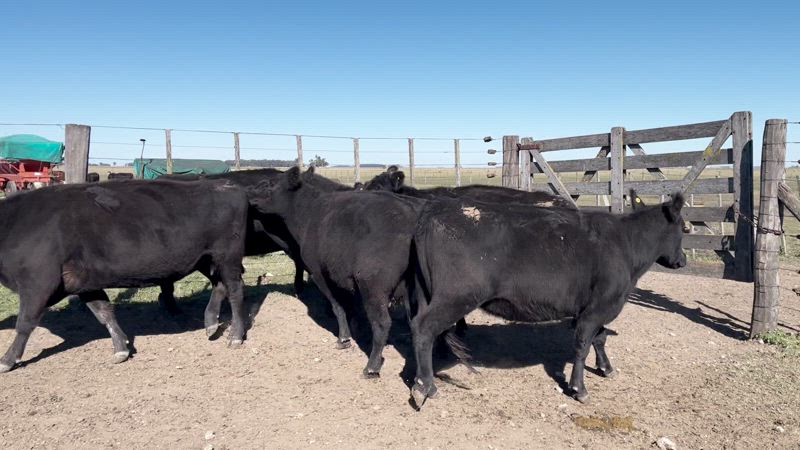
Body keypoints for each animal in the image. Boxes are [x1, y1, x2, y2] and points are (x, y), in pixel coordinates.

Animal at [0, 179, 250, 372]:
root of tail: (225, 184)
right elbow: (104, 313)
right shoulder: (85, 283)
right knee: (220, 286)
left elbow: (25, 323)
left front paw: (7, 360)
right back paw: (211, 323)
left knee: (235, 291)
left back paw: (235, 335)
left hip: (227, 257)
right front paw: (121, 348)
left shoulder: (37, 282)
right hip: (207, 259)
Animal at [249, 166, 425, 377]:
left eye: (270, 184)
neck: (308, 211)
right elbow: (351, 306)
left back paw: (372, 367)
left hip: (373, 286)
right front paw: (355, 328)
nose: (249, 194)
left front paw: (344, 338)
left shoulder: (320, 273)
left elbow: (338, 306)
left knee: (383, 323)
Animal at [408, 193, 687, 407]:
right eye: (685, 229)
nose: (683, 260)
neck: (626, 244)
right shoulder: (597, 309)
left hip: (428, 293)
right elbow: (583, 345)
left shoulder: (593, 308)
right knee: (423, 328)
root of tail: (437, 210)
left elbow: (600, 339)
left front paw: (606, 368)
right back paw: (425, 386)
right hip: (456, 296)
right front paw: (579, 389)